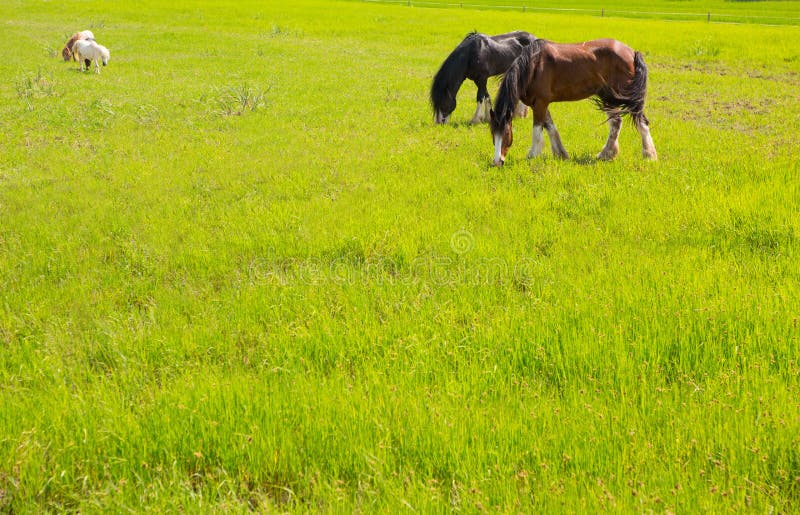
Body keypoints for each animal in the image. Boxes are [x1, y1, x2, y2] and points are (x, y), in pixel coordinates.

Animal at [489, 38, 657, 166]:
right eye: (492, 132)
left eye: (506, 132)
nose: (497, 162)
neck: (534, 66)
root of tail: (632, 52)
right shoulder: (541, 104)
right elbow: (550, 127)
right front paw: (561, 154)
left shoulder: (540, 104)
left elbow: (537, 130)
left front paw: (532, 155)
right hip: (609, 97)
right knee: (616, 123)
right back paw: (606, 154)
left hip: (622, 97)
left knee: (639, 122)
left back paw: (649, 155)